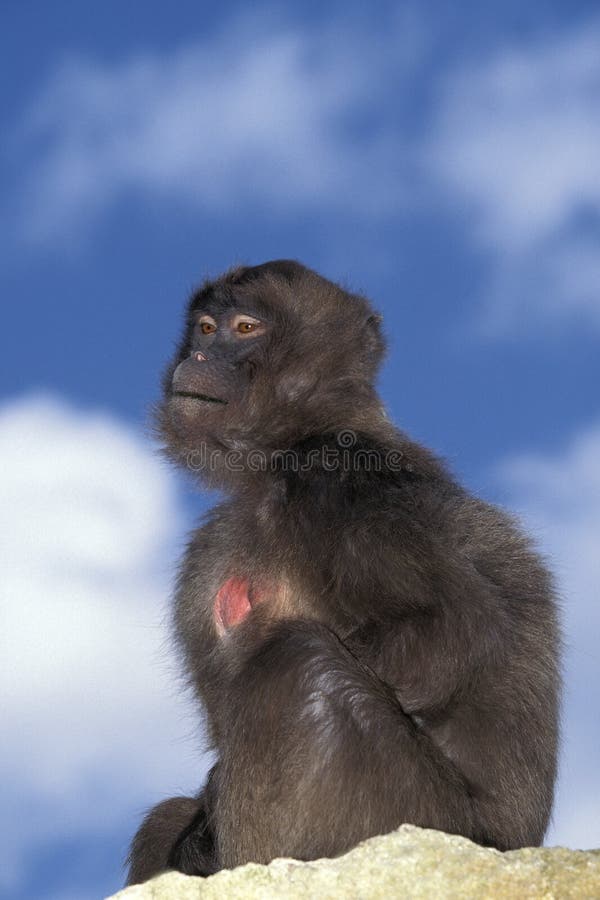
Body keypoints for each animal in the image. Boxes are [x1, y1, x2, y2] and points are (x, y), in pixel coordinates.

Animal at [126, 259, 561, 885]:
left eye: (246, 327)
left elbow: (453, 632)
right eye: (206, 328)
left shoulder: (340, 478)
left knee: (301, 661)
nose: (202, 355)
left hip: (418, 817)